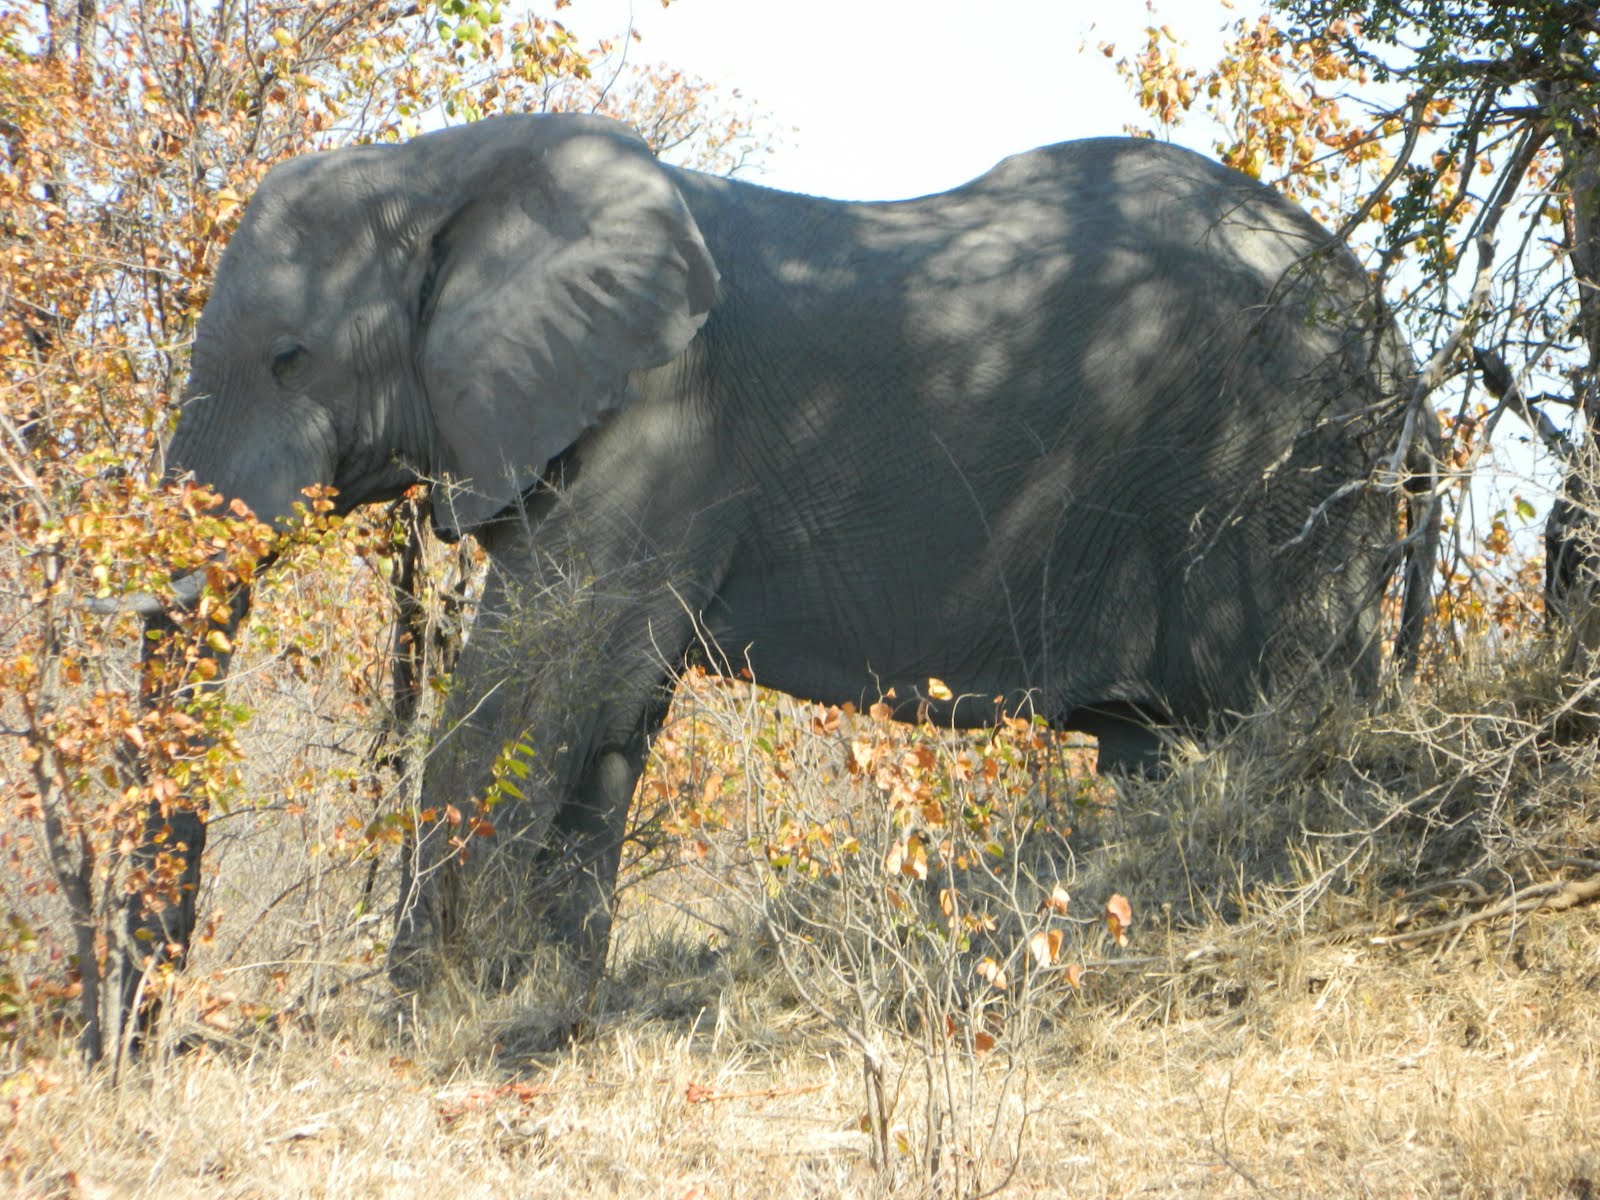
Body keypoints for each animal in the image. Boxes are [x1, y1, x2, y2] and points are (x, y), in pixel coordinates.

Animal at [120, 112, 1434, 994]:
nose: (141, 1049)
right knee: (1153, 748)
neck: (443, 168)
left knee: (1289, 708)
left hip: (1279, 471)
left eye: (289, 358)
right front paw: (546, 1001)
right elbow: (605, 724)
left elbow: (523, 697)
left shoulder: (659, 424)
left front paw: (414, 1022)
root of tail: (1395, 338)